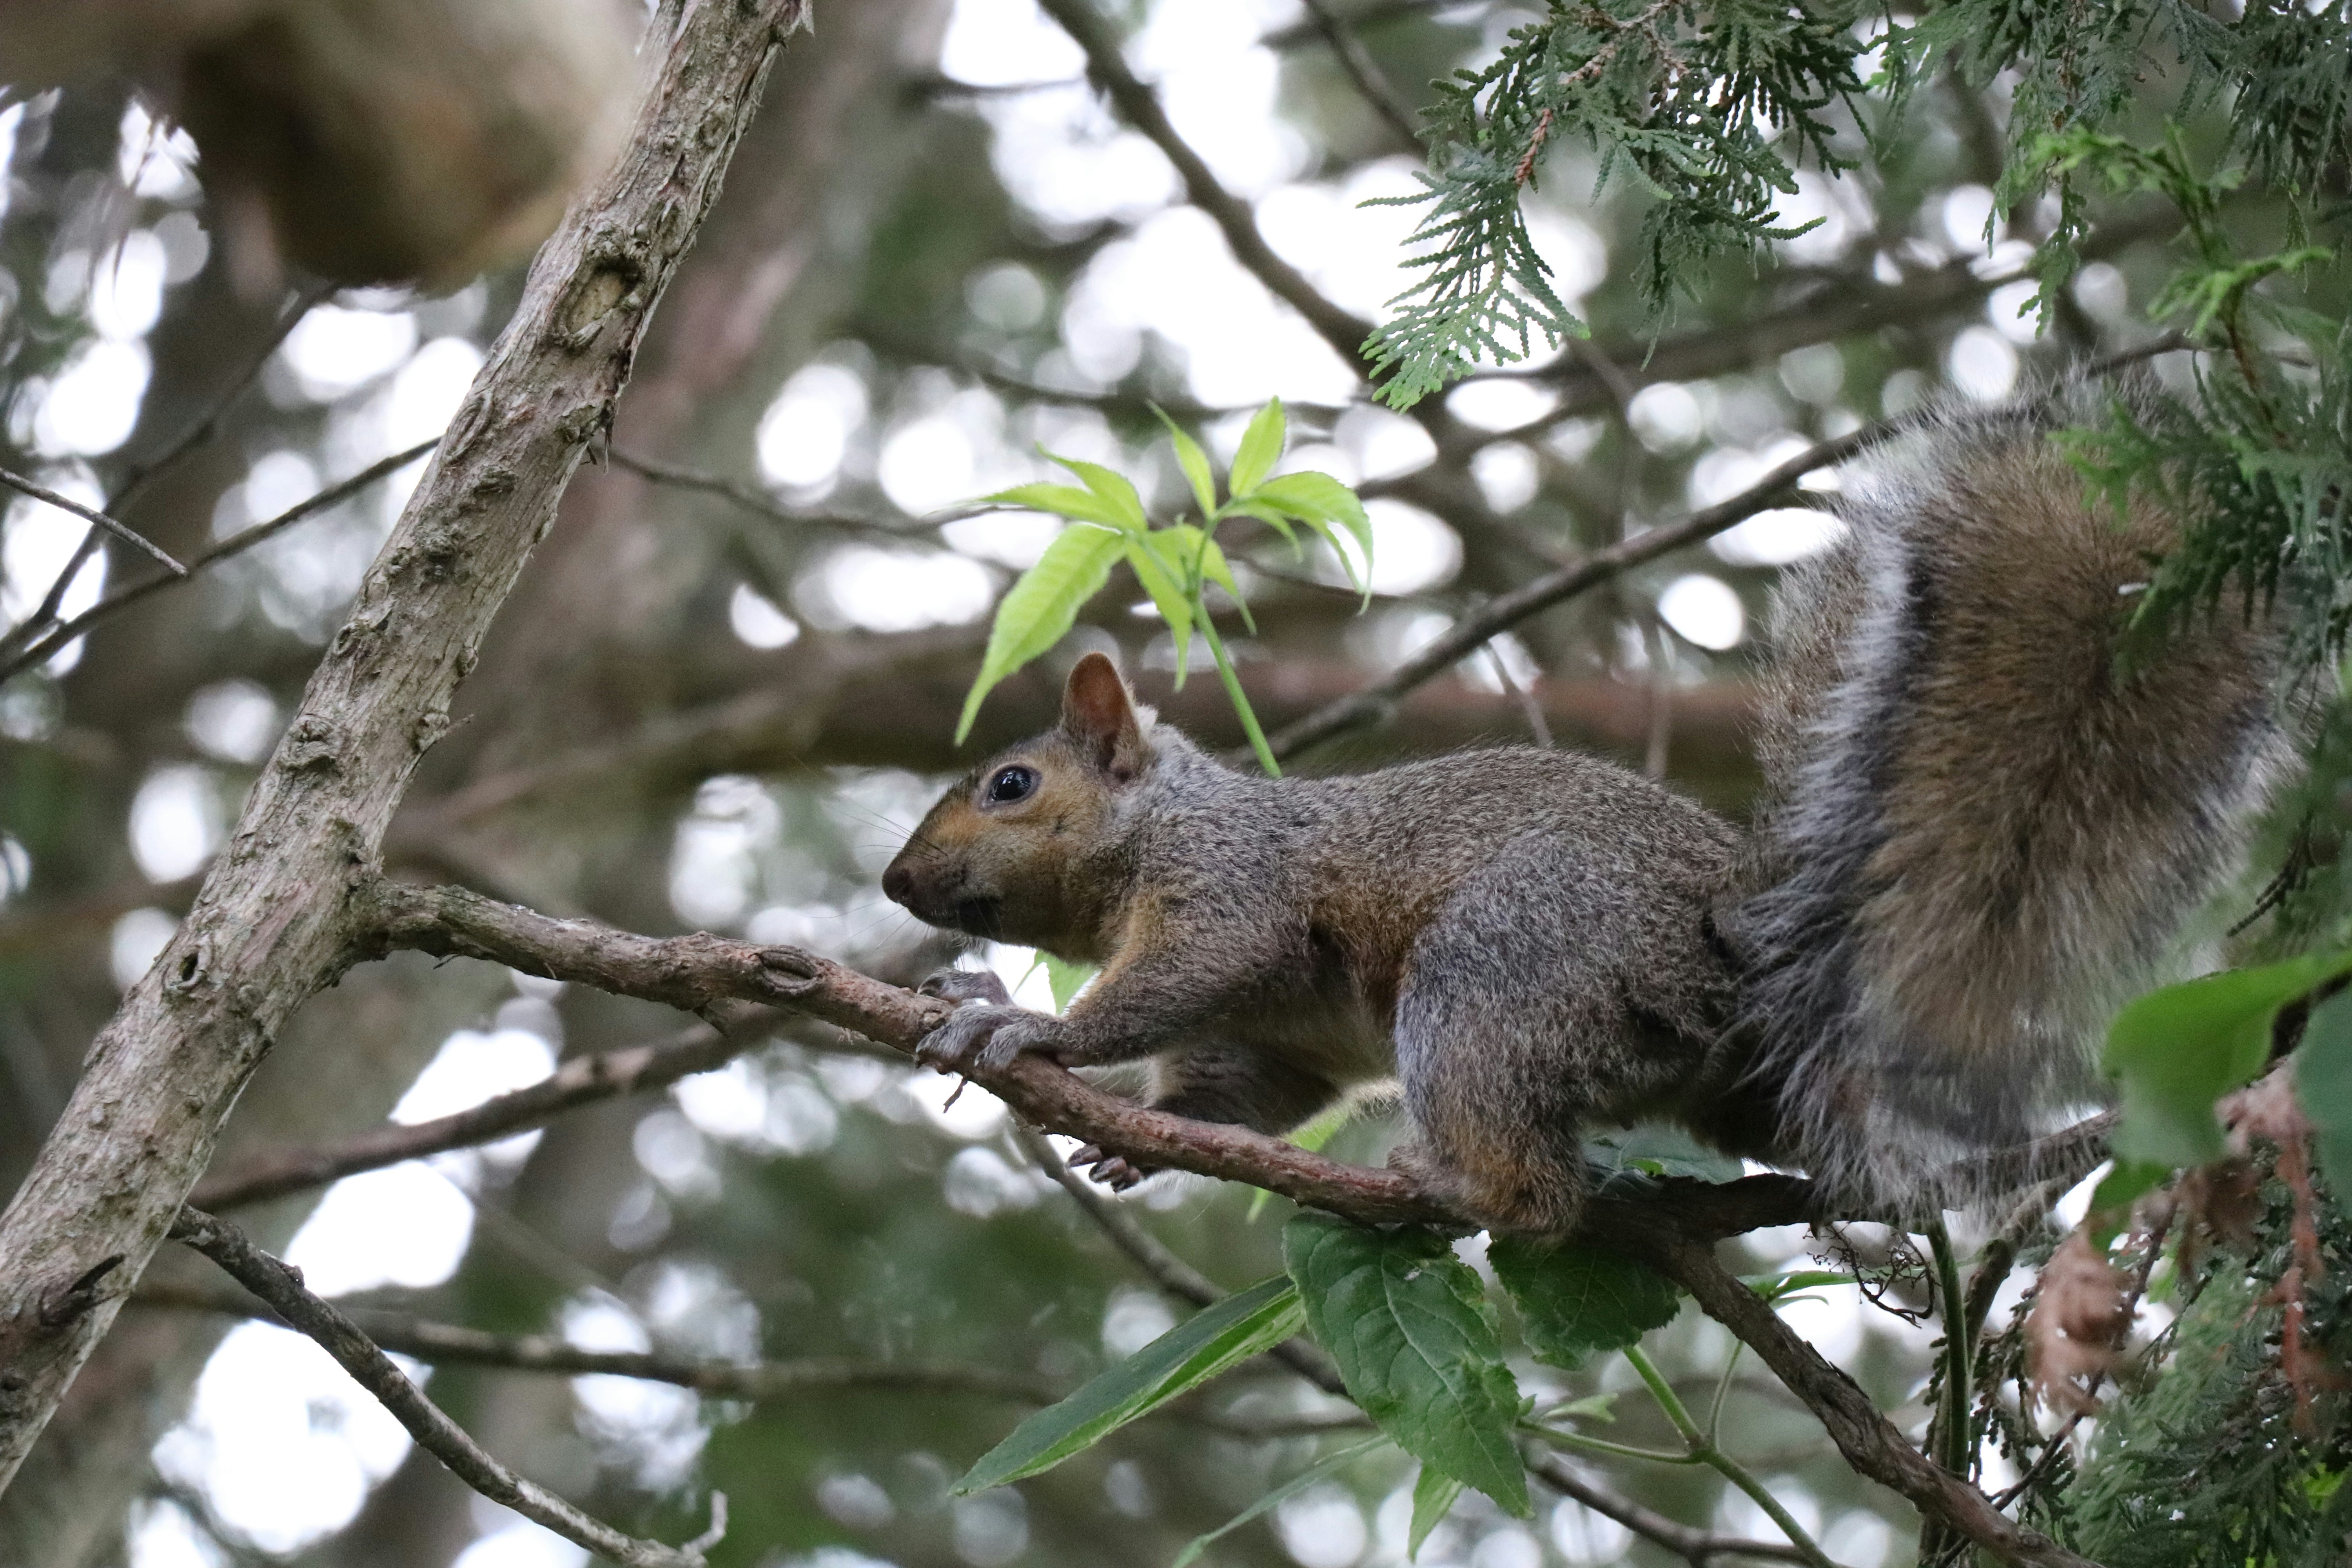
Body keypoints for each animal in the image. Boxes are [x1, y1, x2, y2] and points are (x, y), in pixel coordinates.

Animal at [881, 391, 2294, 1234]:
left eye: (1013, 786)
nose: (896, 884)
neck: (1158, 833)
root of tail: (1744, 970)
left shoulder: (1234, 895)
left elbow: (1174, 978)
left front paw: (1028, 1030)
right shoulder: (1280, 1036)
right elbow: (1244, 1089)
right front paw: (1145, 1138)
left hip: (1501, 971)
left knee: (1540, 1190)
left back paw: (1450, 1178)